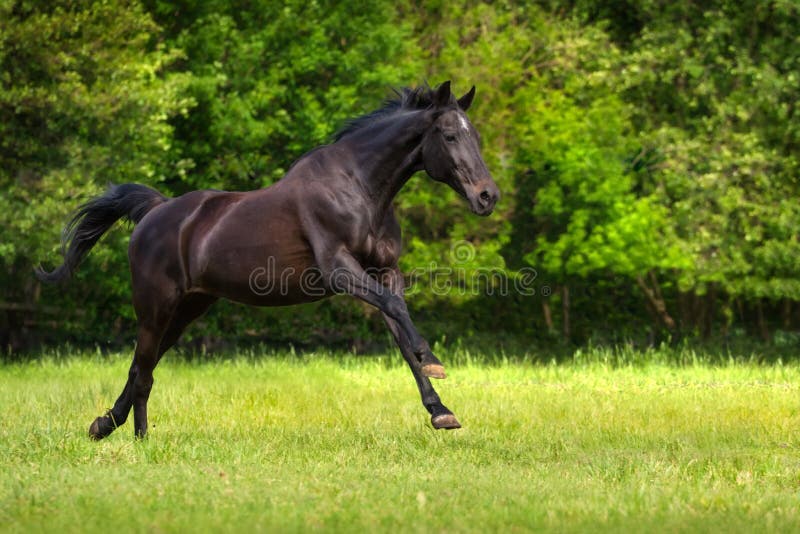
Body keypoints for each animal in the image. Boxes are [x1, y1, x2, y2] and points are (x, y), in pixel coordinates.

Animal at [37, 81, 500, 439]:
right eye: (450, 136)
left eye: (475, 136)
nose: (487, 196)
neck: (359, 188)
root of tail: (155, 210)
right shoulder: (339, 270)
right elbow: (400, 317)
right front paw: (435, 362)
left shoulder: (384, 273)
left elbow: (401, 332)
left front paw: (441, 411)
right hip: (156, 307)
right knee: (143, 371)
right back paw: (140, 439)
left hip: (186, 310)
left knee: (139, 368)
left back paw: (104, 426)